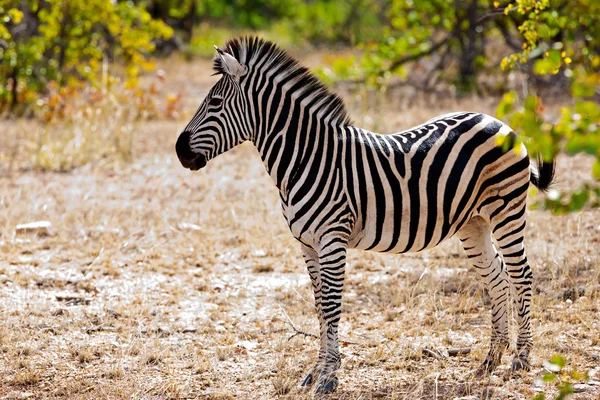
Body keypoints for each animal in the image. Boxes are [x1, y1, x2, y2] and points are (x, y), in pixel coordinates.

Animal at [173, 37, 552, 394]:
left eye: (215, 103)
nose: (179, 151)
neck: (305, 158)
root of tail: (499, 122)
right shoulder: (306, 245)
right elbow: (318, 305)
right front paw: (316, 371)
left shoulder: (332, 240)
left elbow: (331, 305)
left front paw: (329, 376)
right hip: (473, 223)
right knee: (497, 278)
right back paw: (491, 359)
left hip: (507, 212)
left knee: (521, 275)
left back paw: (521, 359)